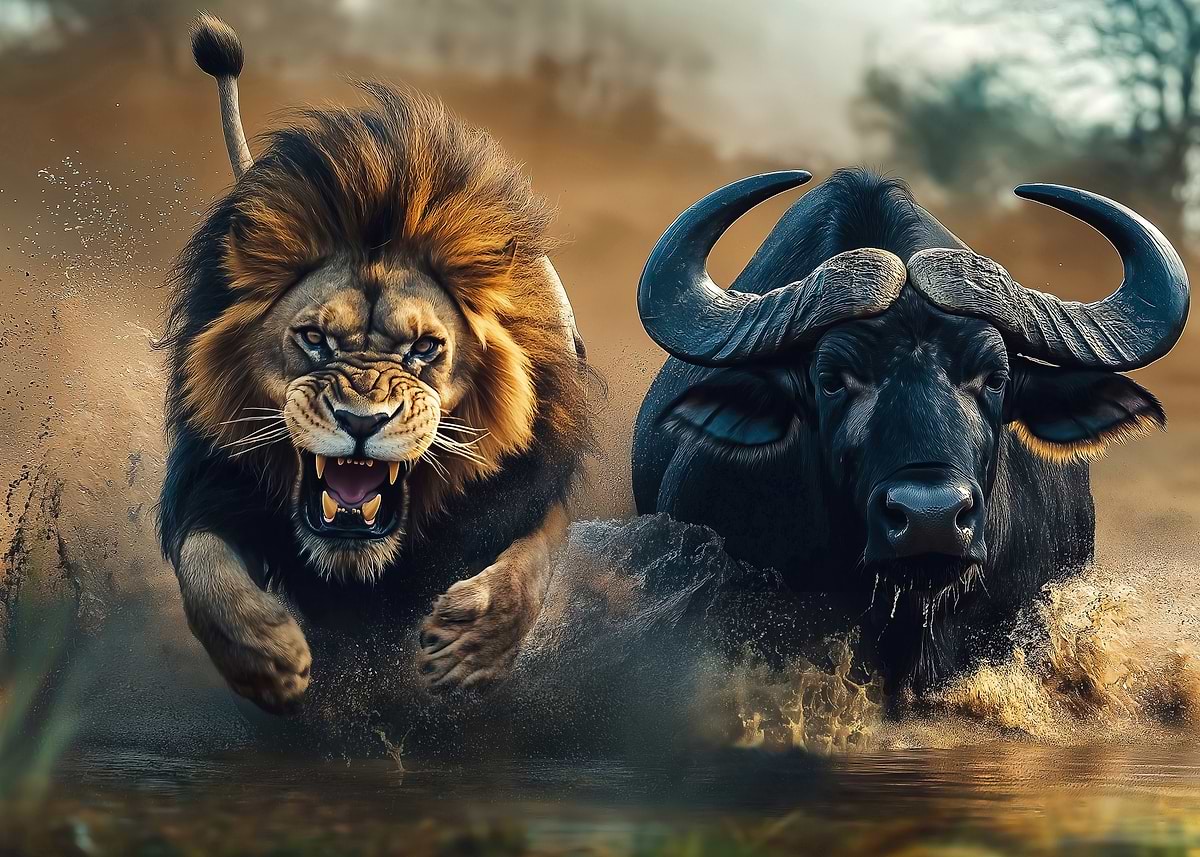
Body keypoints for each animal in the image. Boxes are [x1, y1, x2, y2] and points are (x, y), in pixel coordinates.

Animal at [157, 15, 589, 713]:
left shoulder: (533, 485)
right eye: (313, 338)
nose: (362, 421)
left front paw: (469, 648)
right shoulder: (211, 482)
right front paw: (268, 657)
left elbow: (530, 565)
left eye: (425, 349)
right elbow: (205, 568)